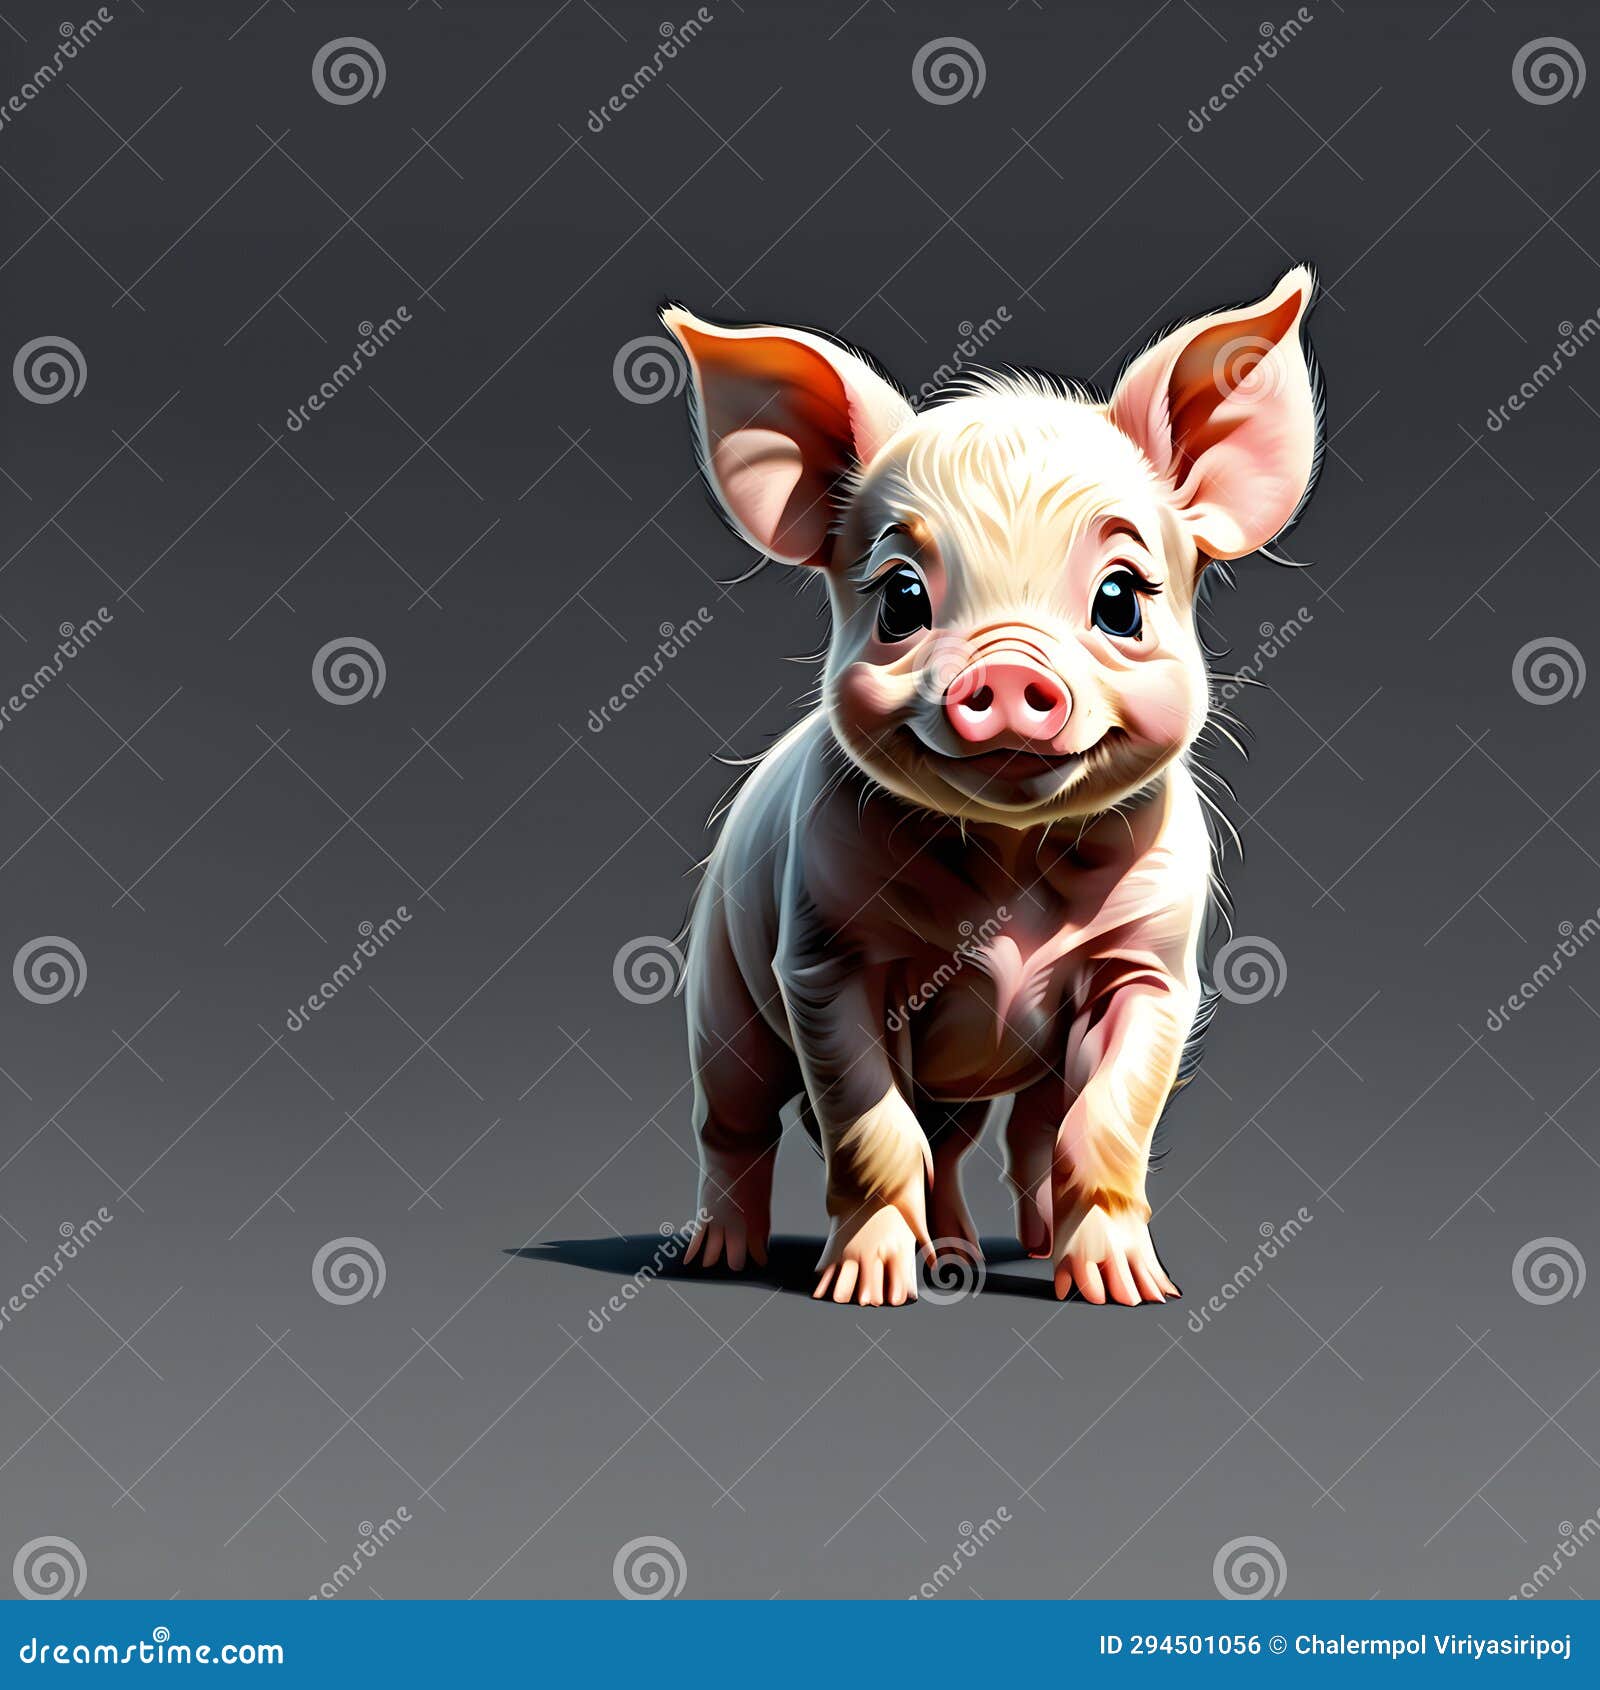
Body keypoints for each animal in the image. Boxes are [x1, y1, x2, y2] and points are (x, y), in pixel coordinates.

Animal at [661, 267, 1321, 1306]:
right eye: (900, 597)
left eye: (1121, 597)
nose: (1006, 671)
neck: (1011, 868)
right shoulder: (822, 961)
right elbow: (870, 1127)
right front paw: (864, 1291)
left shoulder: (1151, 966)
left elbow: (1104, 1123)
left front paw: (1131, 1292)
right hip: (722, 989)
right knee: (739, 1122)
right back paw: (727, 1258)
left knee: (1002, 1137)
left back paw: (1002, 1255)